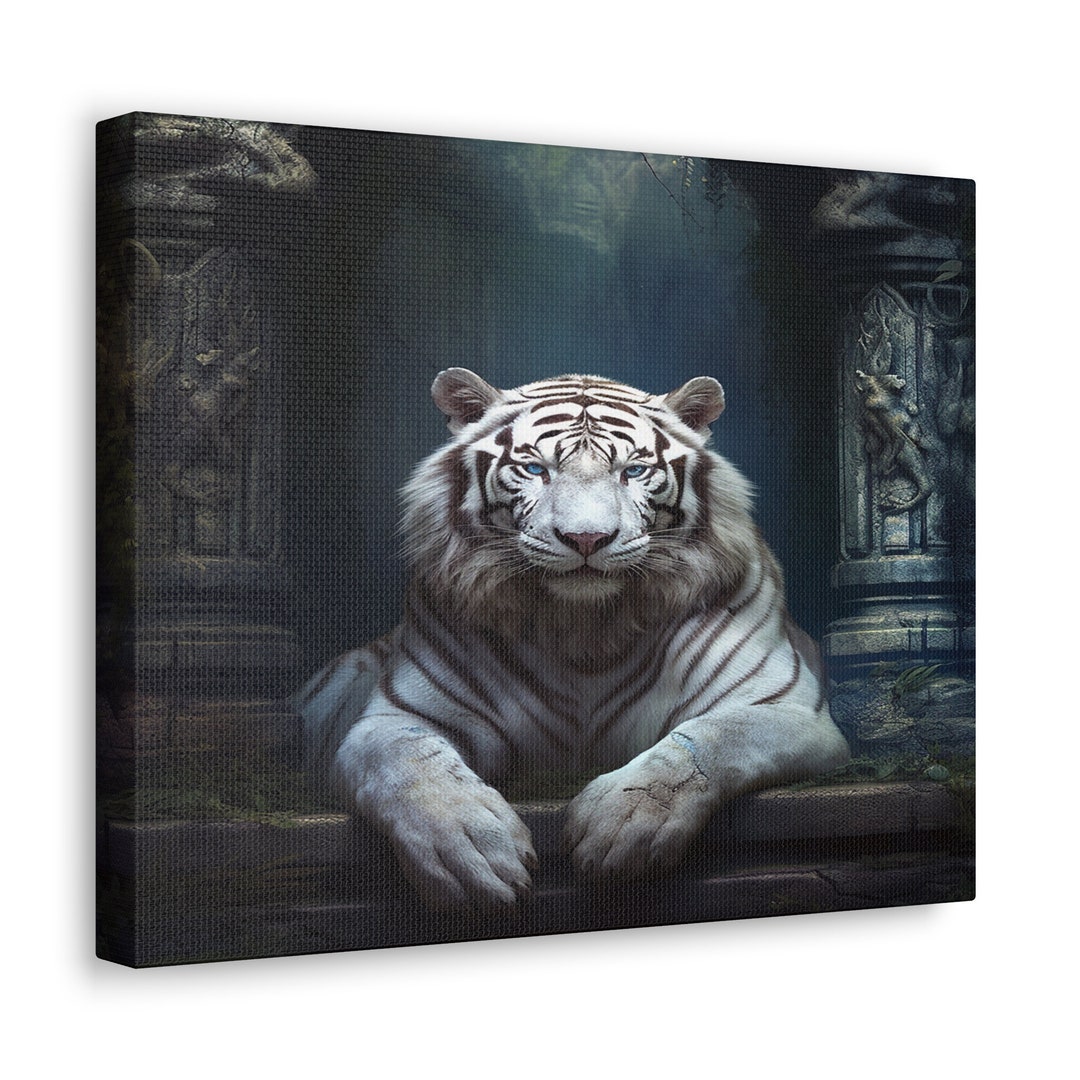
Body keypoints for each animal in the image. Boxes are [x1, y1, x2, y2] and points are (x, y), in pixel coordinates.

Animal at [294, 368, 849, 910]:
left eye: (633, 471)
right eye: (535, 469)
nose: (587, 539)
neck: (583, 627)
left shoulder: (785, 708)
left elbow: (708, 741)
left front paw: (624, 824)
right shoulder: (395, 719)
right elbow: (412, 765)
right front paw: (468, 849)